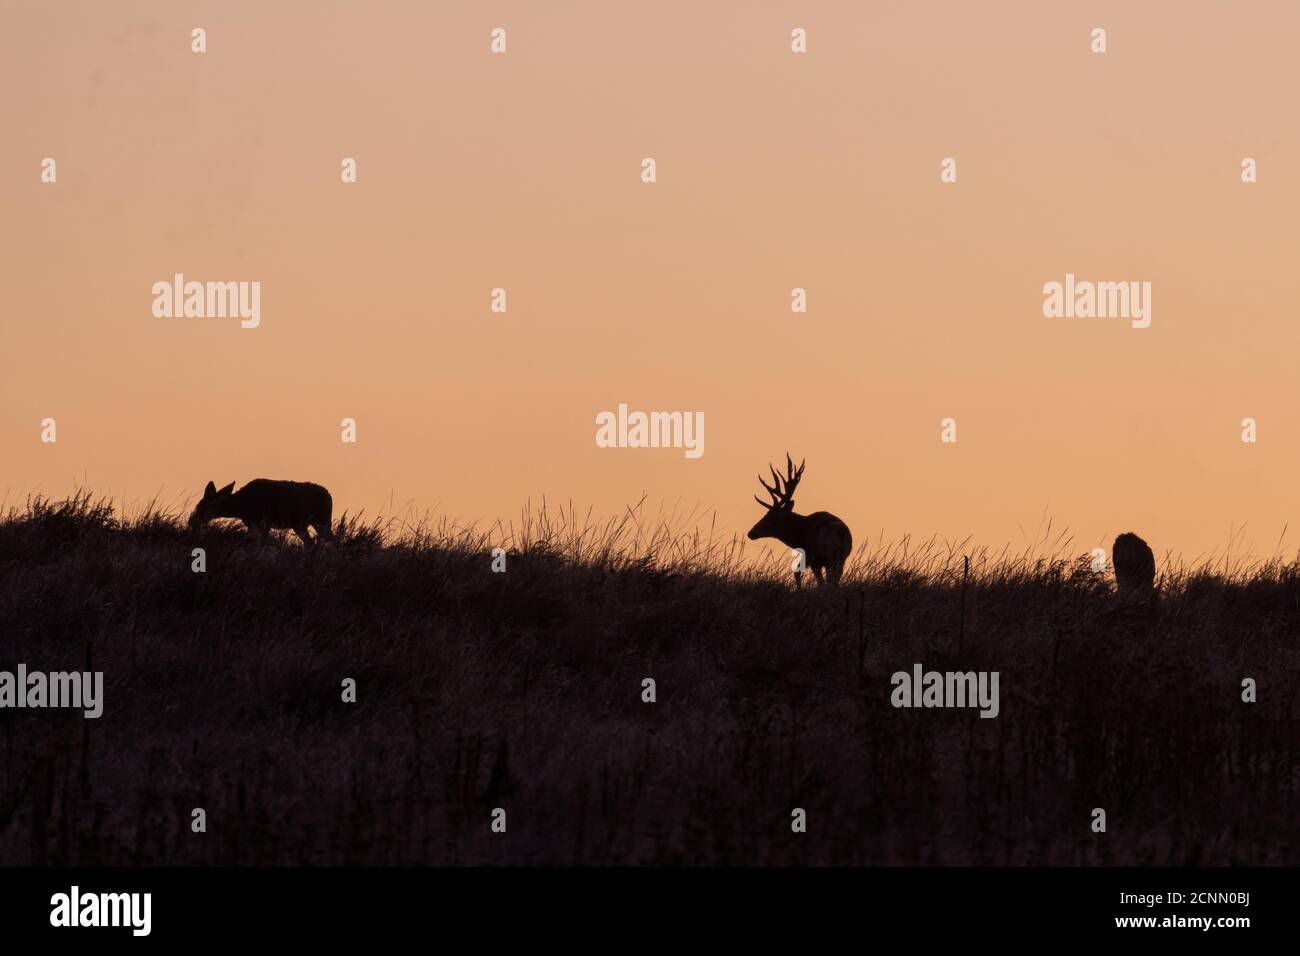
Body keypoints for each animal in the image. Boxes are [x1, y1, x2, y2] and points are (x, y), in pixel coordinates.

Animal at [188, 479, 336, 545]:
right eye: (198, 505)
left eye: (204, 508)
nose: (191, 521)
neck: (242, 508)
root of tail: (330, 496)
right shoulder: (252, 524)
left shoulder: (265, 521)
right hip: (301, 525)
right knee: (311, 544)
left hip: (322, 521)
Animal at [747, 454, 852, 588]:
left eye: (769, 517)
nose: (750, 533)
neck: (799, 535)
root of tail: (840, 532)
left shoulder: (809, 554)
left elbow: (797, 573)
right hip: (840, 558)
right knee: (834, 580)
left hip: (822, 556)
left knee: (826, 581)